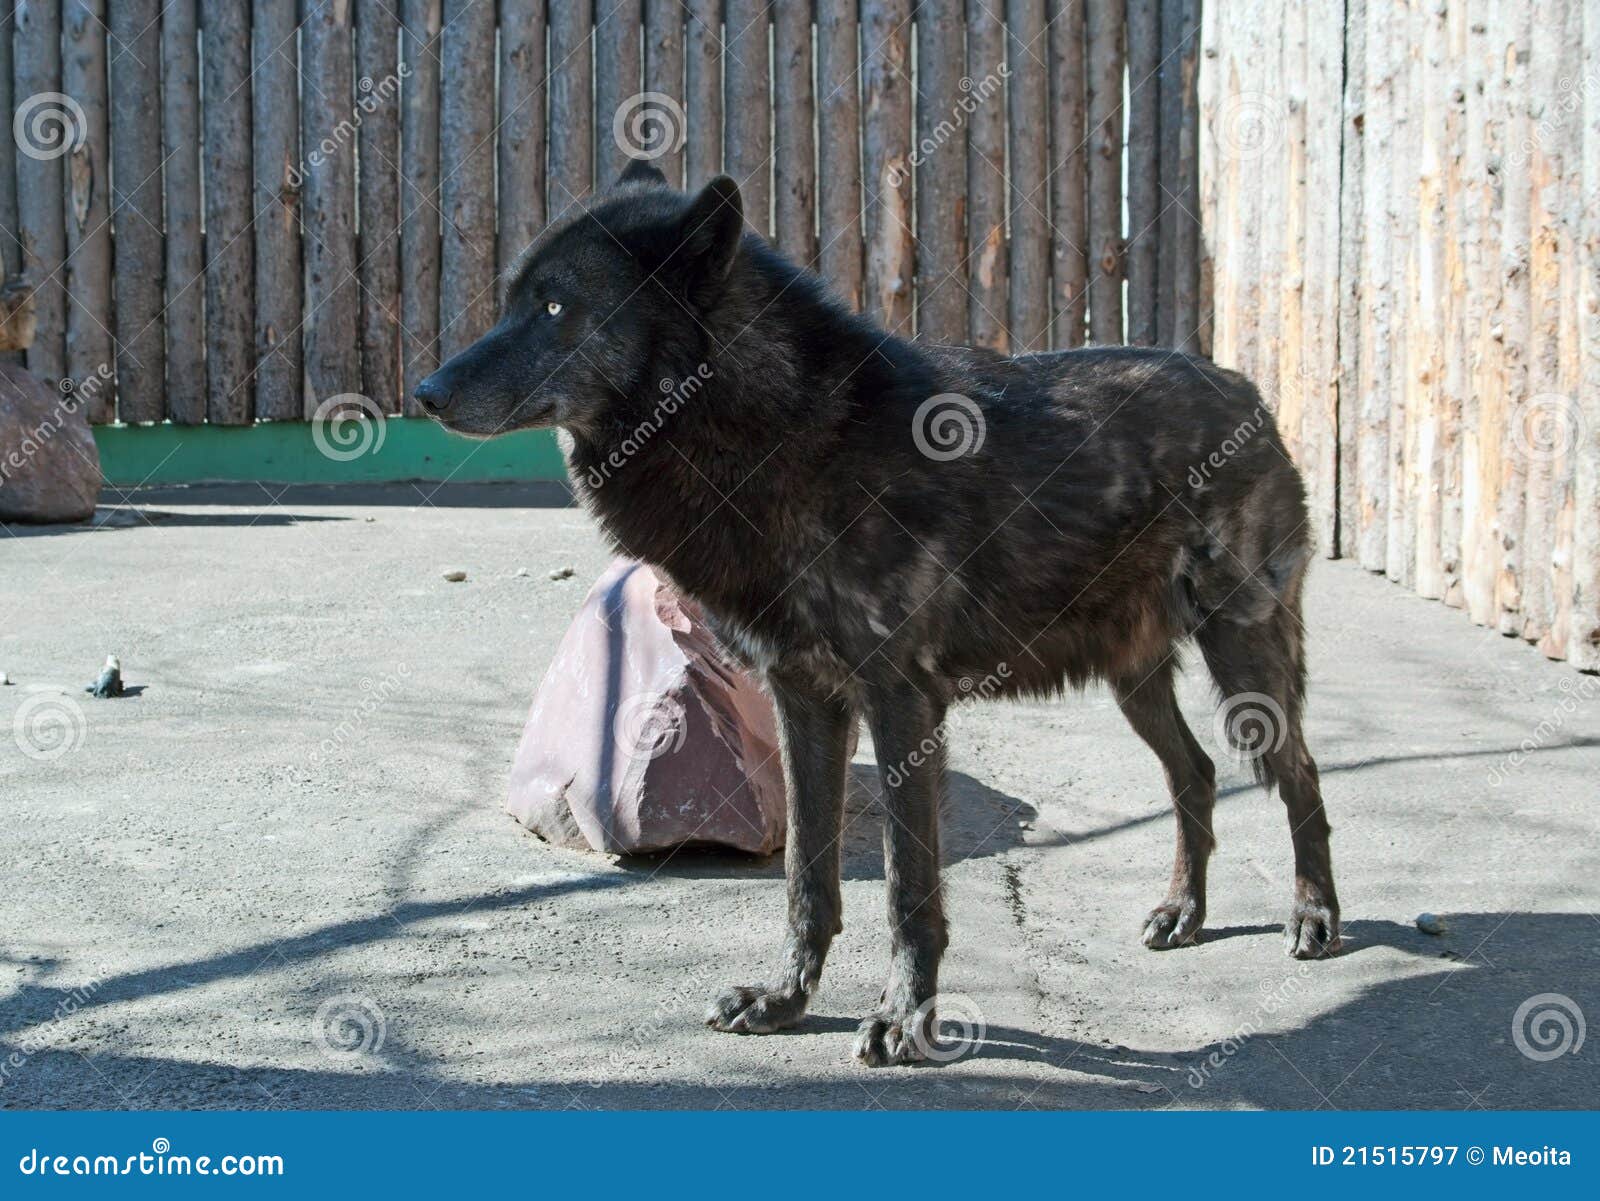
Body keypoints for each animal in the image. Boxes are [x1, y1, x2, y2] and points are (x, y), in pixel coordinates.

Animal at [416, 161, 1340, 1067]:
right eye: (513, 299)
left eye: (555, 307)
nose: (425, 392)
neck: (774, 432)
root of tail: (1242, 388)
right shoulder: (805, 702)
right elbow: (806, 875)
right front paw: (785, 999)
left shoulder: (902, 704)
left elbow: (907, 888)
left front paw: (904, 1019)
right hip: (1132, 679)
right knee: (1197, 772)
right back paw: (1185, 910)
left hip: (1245, 662)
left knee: (1298, 771)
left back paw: (1313, 913)